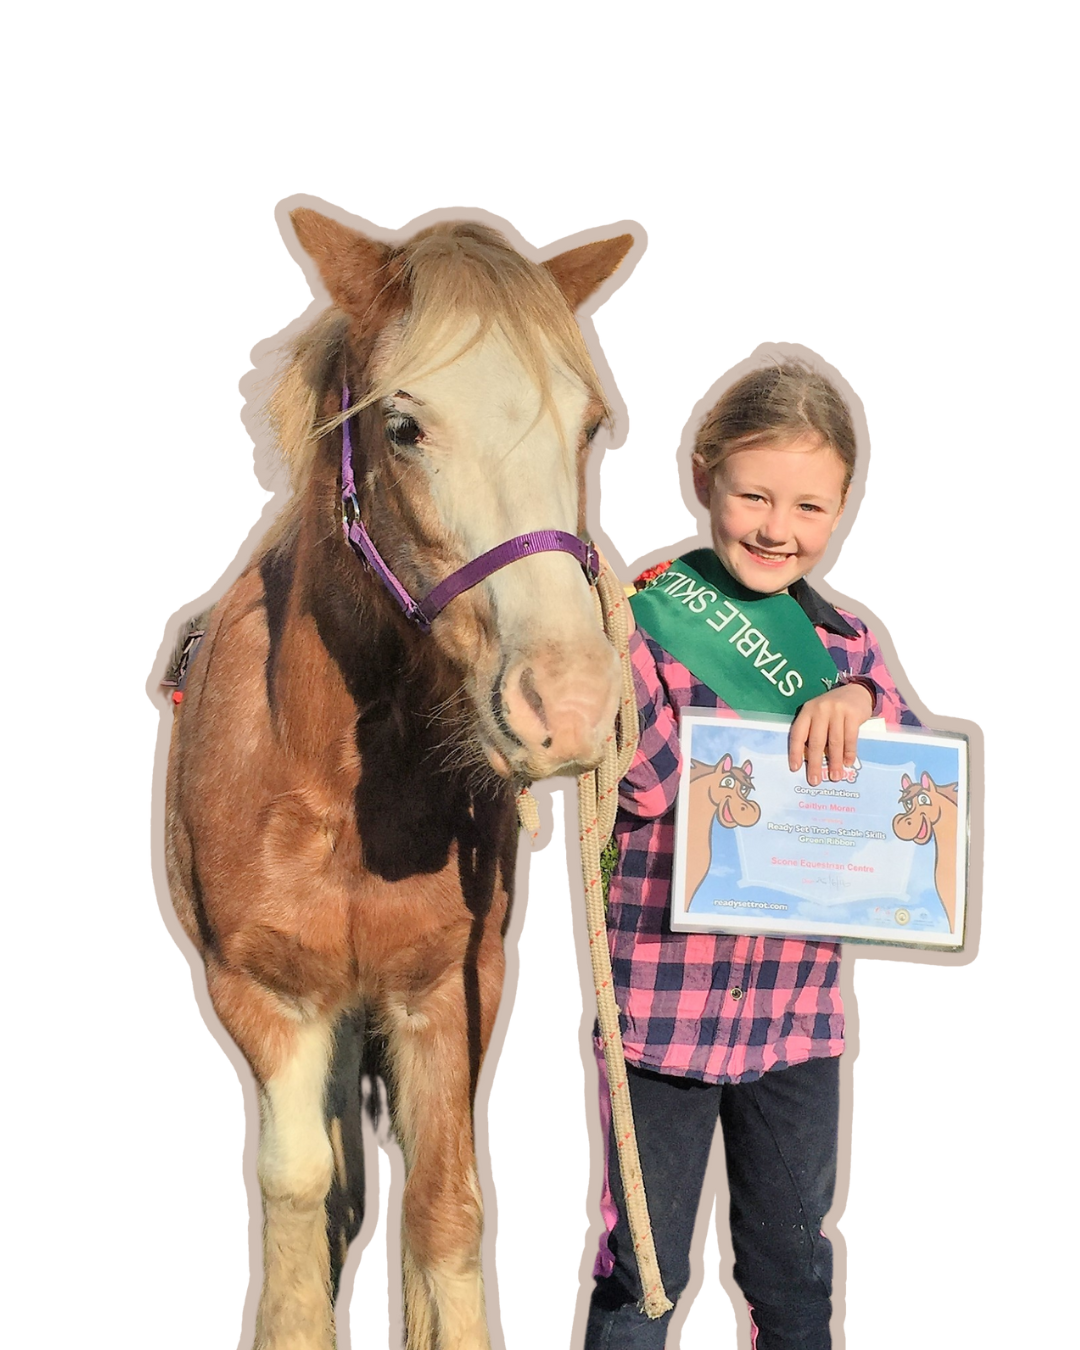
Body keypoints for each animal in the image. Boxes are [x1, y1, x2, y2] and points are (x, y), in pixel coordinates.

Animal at [163, 204, 641, 1350]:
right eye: (404, 428)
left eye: (584, 428)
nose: (569, 706)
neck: (337, 786)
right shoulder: (267, 996)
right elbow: (300, 1193)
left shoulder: (450, 991)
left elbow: (444, 1208)